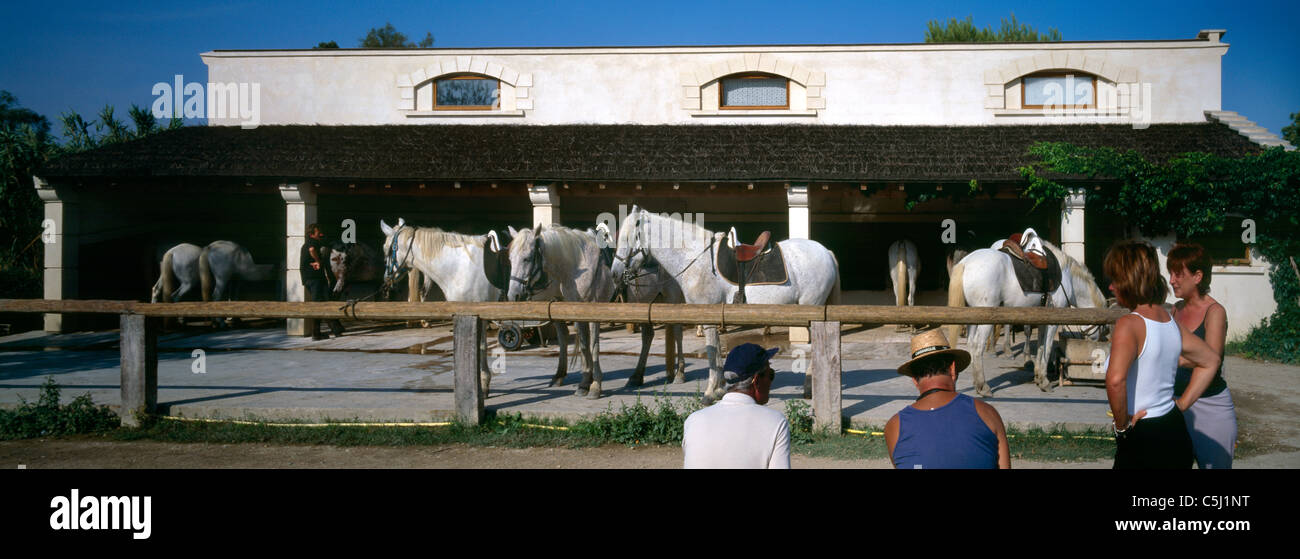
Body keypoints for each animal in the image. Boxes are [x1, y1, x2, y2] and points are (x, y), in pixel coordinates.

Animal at [506, 223, 616, 399]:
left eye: (527, 258)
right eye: (510, 259)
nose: (513, 295)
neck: (581, 264)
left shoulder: (594, 311)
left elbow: (593, 345)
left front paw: (595, 385)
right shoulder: (575, 309)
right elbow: (584, 344)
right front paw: (584, 383)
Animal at [610, 206, 840, 403]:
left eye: (627, 237)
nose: (614, 273)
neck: (697, 258)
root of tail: (826, 252)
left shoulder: (708, 318)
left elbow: (712, 354)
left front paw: (710, 392)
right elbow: (716, 354)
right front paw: (719, 389)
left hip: (813, 309)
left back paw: (810, 387)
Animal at [944, 240, 1108, 397]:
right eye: (1103, 328)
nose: (1098, 343)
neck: (1068, 279)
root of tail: (965, 262)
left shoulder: (1042, 320)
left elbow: (1041, 346)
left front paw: (1038, 376)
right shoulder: (1052, 322)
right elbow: (1047, 347)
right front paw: (1045, 382)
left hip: (971, 318)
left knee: (971, 344)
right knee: (978, 347)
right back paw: (983, 387)